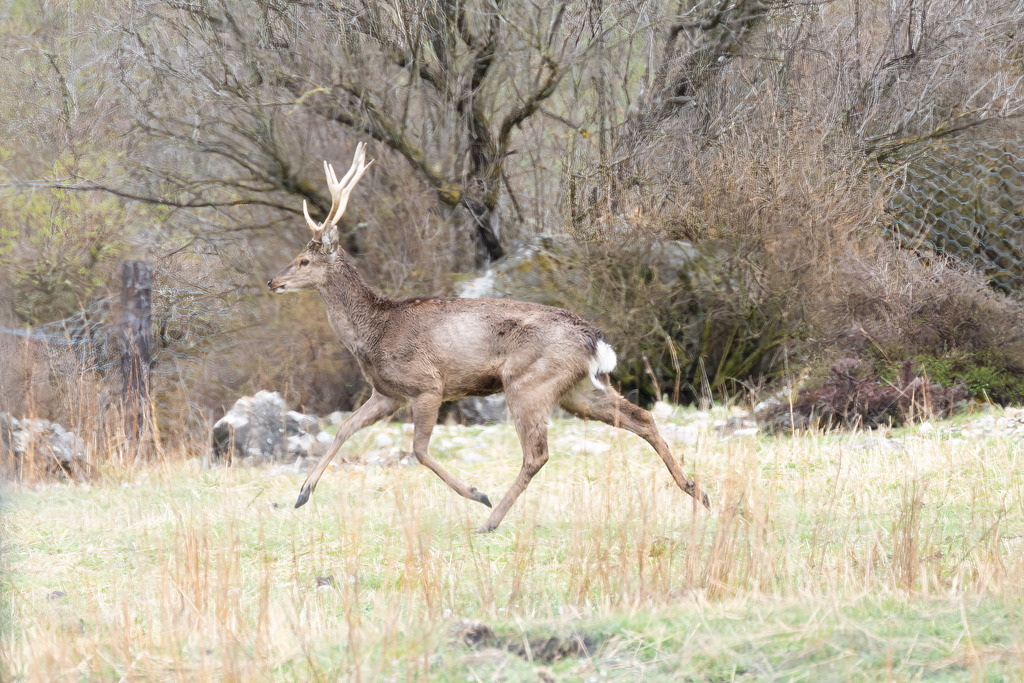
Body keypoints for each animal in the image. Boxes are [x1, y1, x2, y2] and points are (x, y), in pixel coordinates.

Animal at [267, 142, 711, 532]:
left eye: (303, 260)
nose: (273, 281)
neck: (373, 331)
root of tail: (594, 339)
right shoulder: (386, 393)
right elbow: (344, 428)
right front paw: (302, 493)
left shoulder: (426, 385)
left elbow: (419, 450)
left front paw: (476, 493)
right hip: (578, 388)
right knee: (640, 417)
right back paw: (696, 489)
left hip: (527, 382)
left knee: (537, 454)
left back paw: (489, 519)